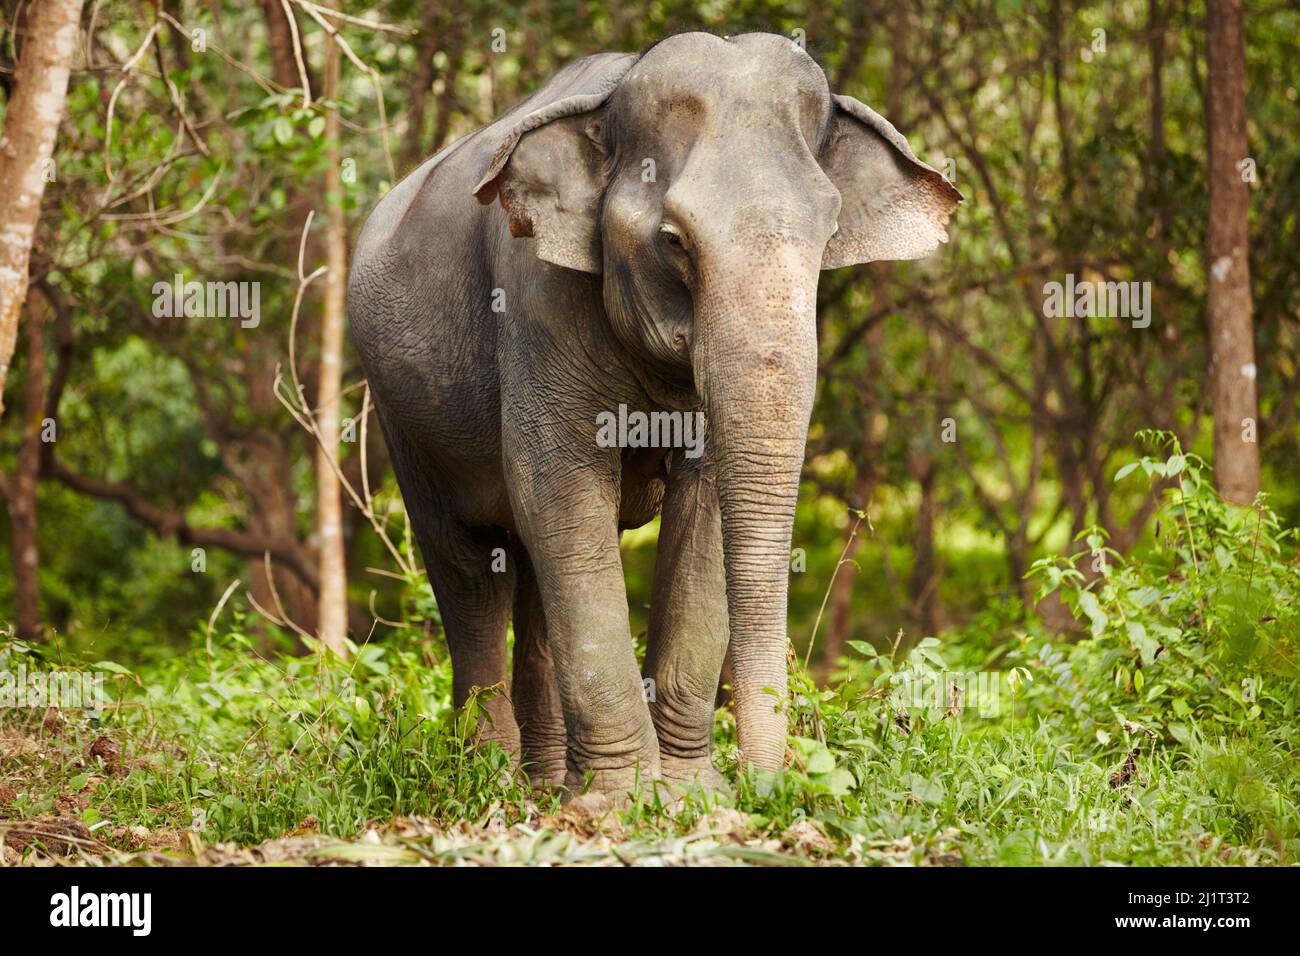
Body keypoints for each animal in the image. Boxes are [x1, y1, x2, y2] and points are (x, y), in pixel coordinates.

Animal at [347, 31, 960, 796]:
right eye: (673, 240)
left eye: (830, 236)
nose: (772, 787)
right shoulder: (534, 297)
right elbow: (560, 488)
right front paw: (625, 802)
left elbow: (703, 511)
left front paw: (690, 793)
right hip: (403, 417)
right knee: (469, 570)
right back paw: (493, 780)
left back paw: (546, 784)